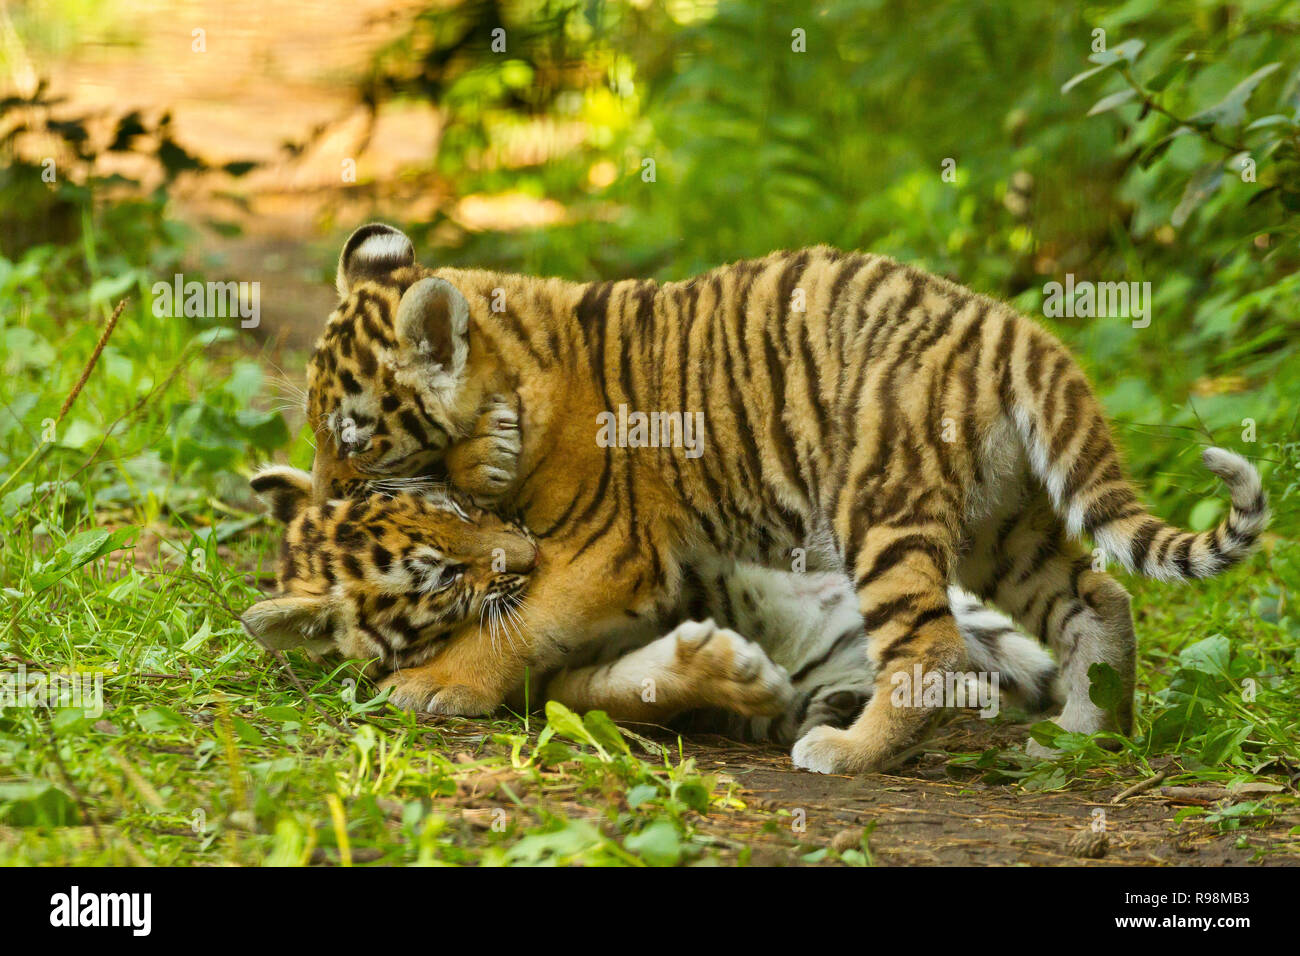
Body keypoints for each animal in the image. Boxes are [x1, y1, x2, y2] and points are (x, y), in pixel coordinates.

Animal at [241, 467, 1058, 745]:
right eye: (441, 579)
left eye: (455, 504)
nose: (530, 557)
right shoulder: (556, 682)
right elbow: (614, 690)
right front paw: (732, 670)